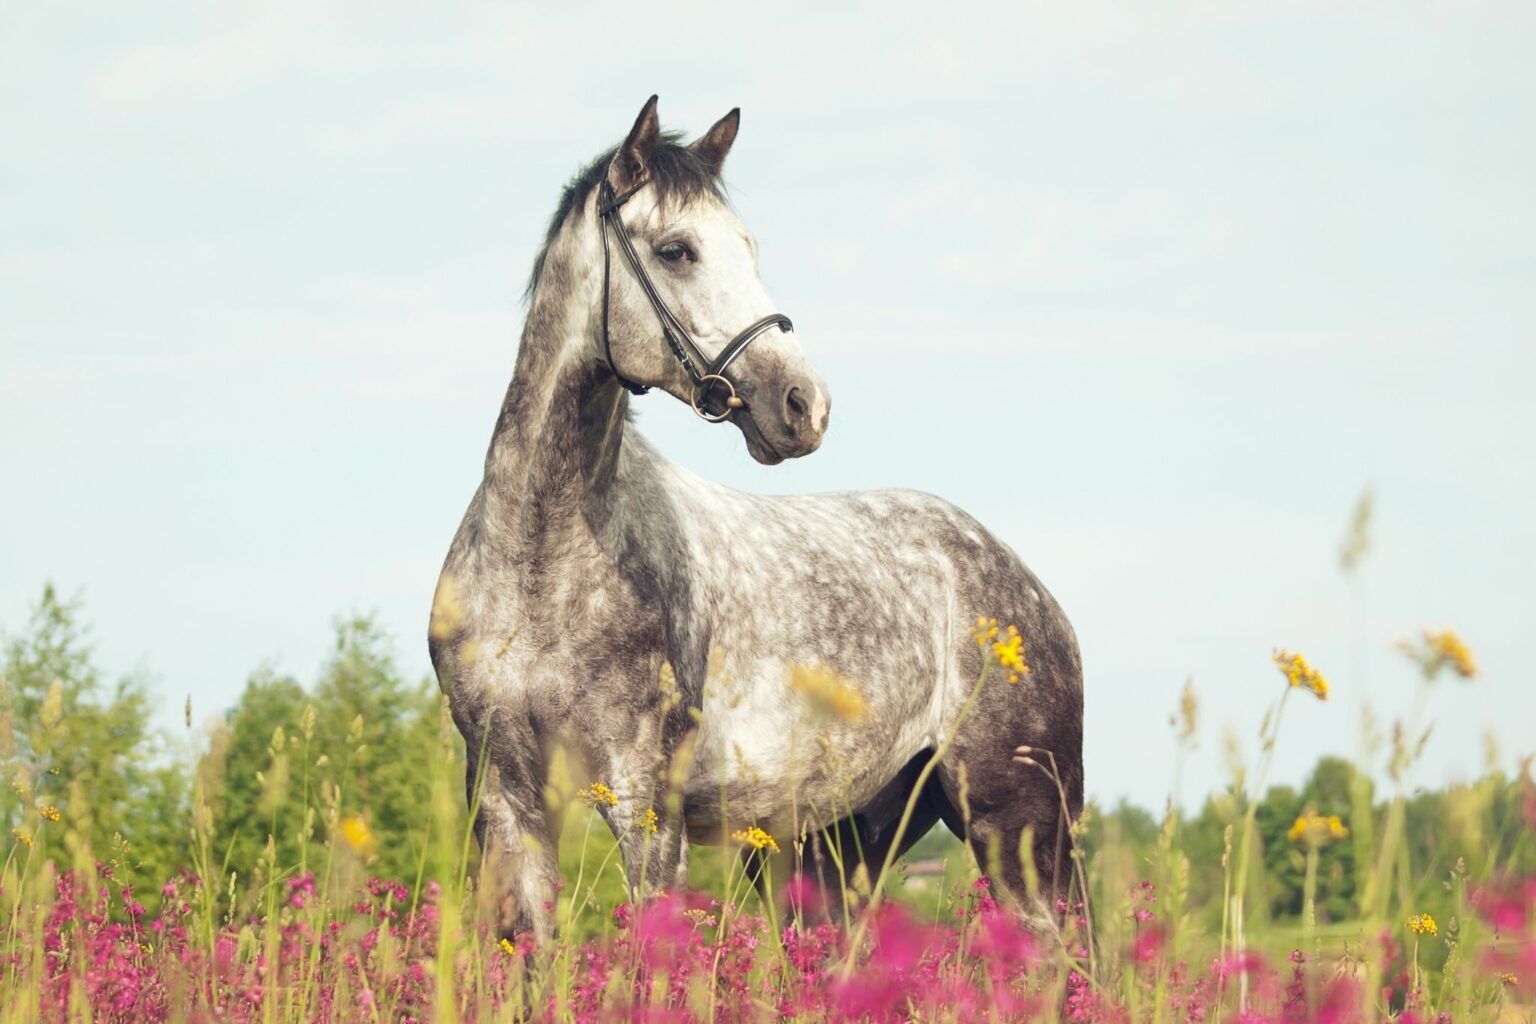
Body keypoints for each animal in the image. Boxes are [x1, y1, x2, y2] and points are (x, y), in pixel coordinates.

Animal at [429, 96, 1083, 943]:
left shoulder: (645, 803)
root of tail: (1030, 590)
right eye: (676, 250)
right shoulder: (508, 794)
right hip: (849, 845)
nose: (805, 405)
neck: (539, 560)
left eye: (748, 248)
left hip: (1021, 832)